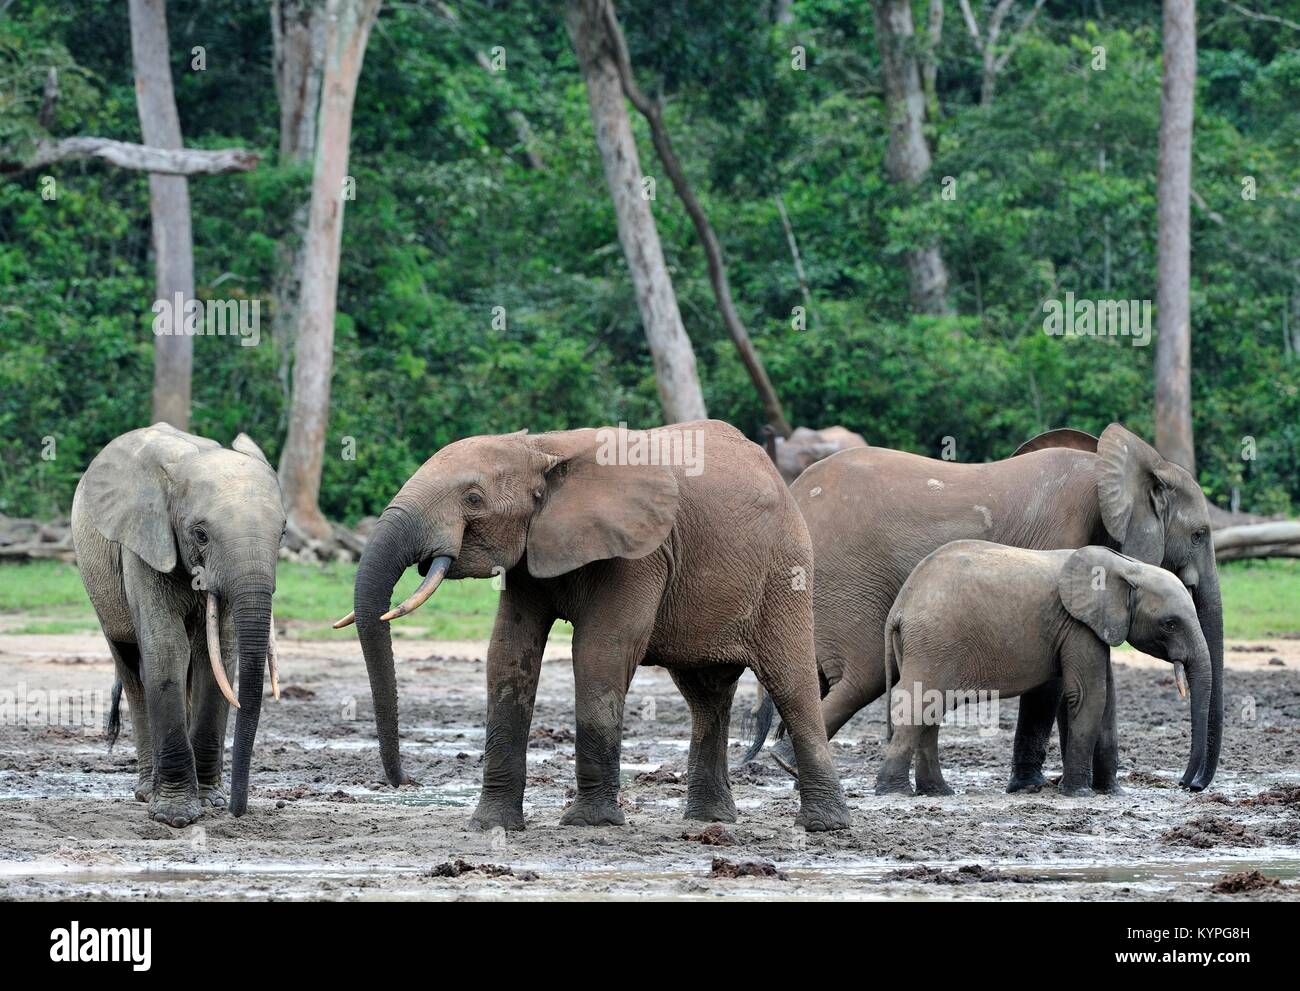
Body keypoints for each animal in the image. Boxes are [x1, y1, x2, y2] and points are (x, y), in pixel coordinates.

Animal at [70, 423, 285, 825]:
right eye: (200, 534)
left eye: (282, 534)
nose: (237, 811)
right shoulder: (143, 544)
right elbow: (167, 649)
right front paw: (176, 816)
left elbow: (218, 654)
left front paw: (211, 802)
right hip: (98, 584)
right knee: (131, 669)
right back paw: (144, 792)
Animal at [336, 419, 851, 831]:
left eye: (474, 499)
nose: (402, 781)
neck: (543, 447)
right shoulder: (531, 551)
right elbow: (508, 655)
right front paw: (490, 826)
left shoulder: (641, 551)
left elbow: (601, 651)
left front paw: (590, 823)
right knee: (706, 696)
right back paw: (710, 821)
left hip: (785, 570)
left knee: (790, 682)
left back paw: (824, 827)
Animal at [875, 541, 1210, 797]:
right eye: (1169, 624)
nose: (1186, 785)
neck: (1126, 567)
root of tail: (900, 606)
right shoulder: (1078, 625)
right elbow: (1089, 694)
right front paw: (1079, 794)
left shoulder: (1093, 627)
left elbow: (1106, 699)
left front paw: (1112, 793)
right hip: (935, 640)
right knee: (920, 704)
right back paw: (895, 792)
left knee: (931, 709)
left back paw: (938, 792)